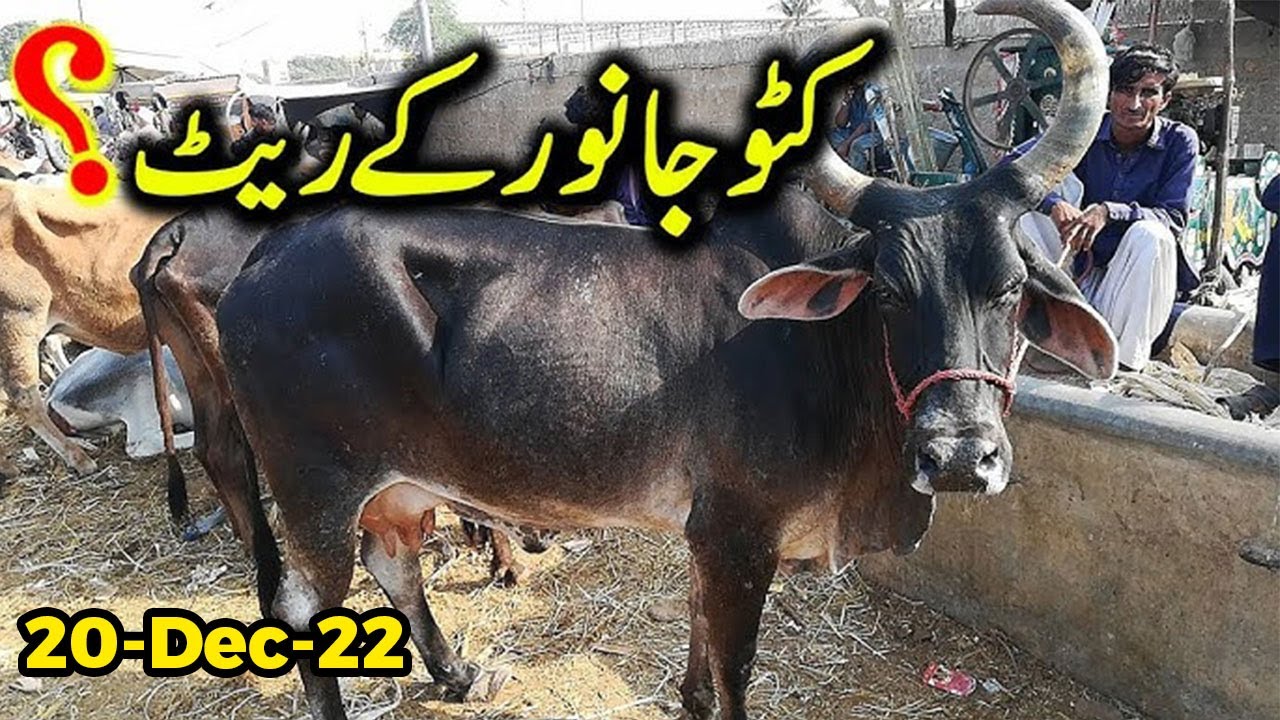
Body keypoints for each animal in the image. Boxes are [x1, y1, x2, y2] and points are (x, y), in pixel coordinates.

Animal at [215, 2, 1114, 718]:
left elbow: (697, 637)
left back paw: (458, 674)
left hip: (392, 488)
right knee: (302, 610)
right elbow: (734, 663)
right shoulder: (738, 534)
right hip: (316, 491)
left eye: (1009, 286)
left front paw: (687, 697)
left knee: (394, 564)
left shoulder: (705, 535)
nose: (958, 456)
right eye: (889, 291)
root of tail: (258, 267)